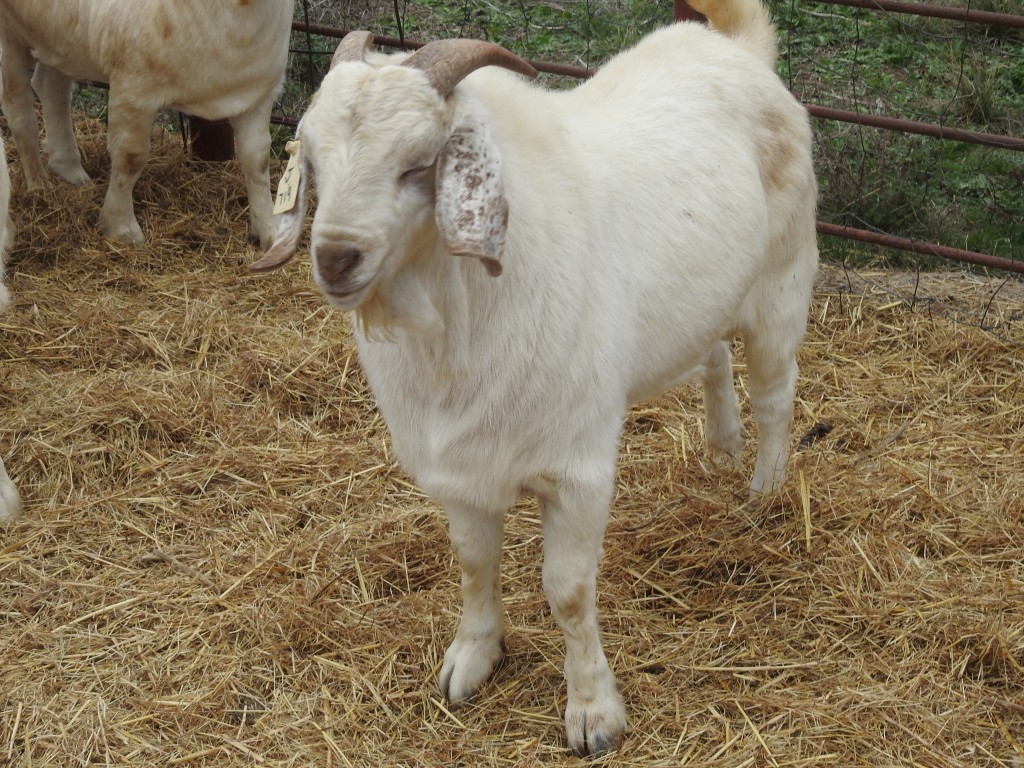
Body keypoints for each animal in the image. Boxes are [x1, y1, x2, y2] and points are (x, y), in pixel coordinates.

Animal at [0, 0, 294, 248]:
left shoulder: (259, 93)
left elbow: (257, 161)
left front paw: (269, 231)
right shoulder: (132, 91)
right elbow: (130, 159)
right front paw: (121, 228)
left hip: (60, 38)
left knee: (51, 86)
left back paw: (70, 169)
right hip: (10, 39)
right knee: (19, 110)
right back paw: (39, 184)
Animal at [253, 0, 818, 754]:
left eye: (419, 164)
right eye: (311, 161)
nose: (336, 258)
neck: (460, 322)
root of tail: (739, 51)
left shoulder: (576, 469)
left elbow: (569, 591)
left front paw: (593, 714)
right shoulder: (460, 473)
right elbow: (473, 563)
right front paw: (472, 659)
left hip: (782, 282)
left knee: (776, 392)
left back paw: (764, 491)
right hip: (705, 300)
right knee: (713, 358)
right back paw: (721, 450)